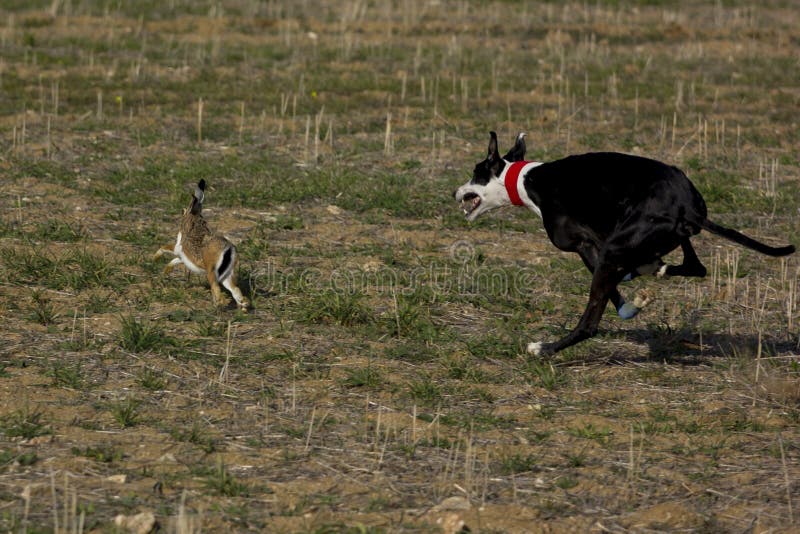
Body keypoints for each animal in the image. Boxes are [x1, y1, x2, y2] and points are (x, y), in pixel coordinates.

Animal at [154, 179, 249, 311]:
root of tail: (228, 250)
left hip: (212, 272)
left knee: (217, 290)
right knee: (235, 289)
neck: (193, 219)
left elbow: (166, 248)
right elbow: (175, 260)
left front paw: (155, 259)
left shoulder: (178, 248)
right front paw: (166, 271)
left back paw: (216, 307)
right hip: (227, 274)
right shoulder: (184, 257)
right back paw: (243, 306)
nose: (182, 212)